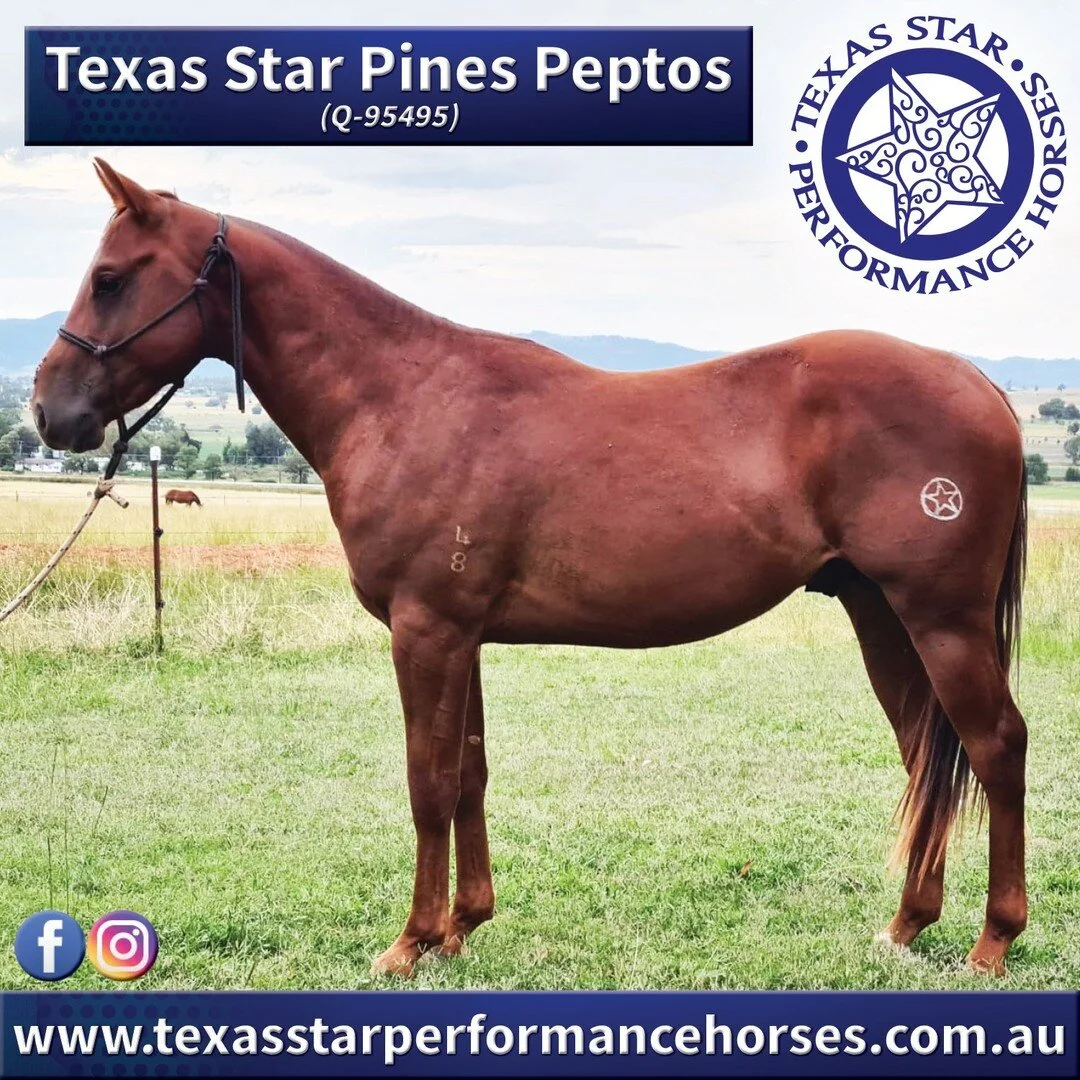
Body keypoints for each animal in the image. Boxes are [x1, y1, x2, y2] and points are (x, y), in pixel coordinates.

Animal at [31, 160, 1029, 978]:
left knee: (995, 746)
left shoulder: (426, 631)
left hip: (940, 619)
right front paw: (462, 925)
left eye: (111, 278)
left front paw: (409, 942)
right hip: (881, 614)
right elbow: (468, 773)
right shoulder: (460, 634)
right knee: (925, 752)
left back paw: (992, 941)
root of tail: (980, 383)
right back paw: (906, 925)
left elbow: (427, 782)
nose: (47, 409)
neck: (403, 398)